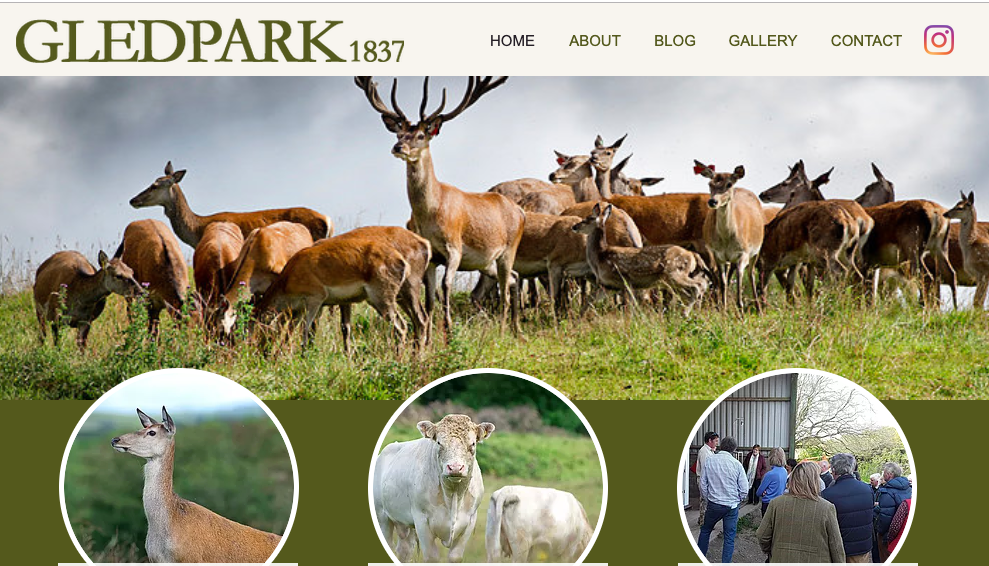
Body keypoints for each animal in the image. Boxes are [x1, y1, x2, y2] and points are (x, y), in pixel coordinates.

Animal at [249, 226, 431, 353]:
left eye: (253, 326)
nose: (256, 353)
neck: (289, 276)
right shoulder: (304, 309)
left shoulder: (315, 300)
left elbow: (306, 330)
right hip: (396, 298)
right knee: (416, 321)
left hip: (387, 299)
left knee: (406, 325)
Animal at [355, 76, 524, 334]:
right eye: (398, 134)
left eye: (420, 136)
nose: (398, 147)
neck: (430, 215)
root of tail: (521, 211)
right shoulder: (432, 256)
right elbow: (430, 297)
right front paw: (432, 331)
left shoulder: (454, 247)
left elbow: (445, 286)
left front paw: (449, 329)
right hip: (485, 261)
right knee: (514, 278)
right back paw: (517, 329)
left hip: (508, 249)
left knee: (506, 287)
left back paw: (505, 328)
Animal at [572, 203, 708, 314]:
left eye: (588, 219)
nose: (574, 227)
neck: (600, 256)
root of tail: (692, 255)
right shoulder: (607, 285)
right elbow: (588, 303)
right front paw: (577, 321)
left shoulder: (625, 280)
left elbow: (630, 305)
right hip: (672, 278)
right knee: (694, 289)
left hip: (674, 272)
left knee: (697, 286)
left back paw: (685, 313)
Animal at [695, 161, 765, 310]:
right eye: (710, 184)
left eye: (729, 184)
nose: (712, 202)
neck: (727, 240)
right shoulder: (717, 254)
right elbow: (722, 283)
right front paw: (723, 309)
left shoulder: (743, 252)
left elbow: (739, 281)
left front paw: (740, 309)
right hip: (729, 259)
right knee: (728, 278)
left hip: (756, 250)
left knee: (751, 274)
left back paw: (759, 309)